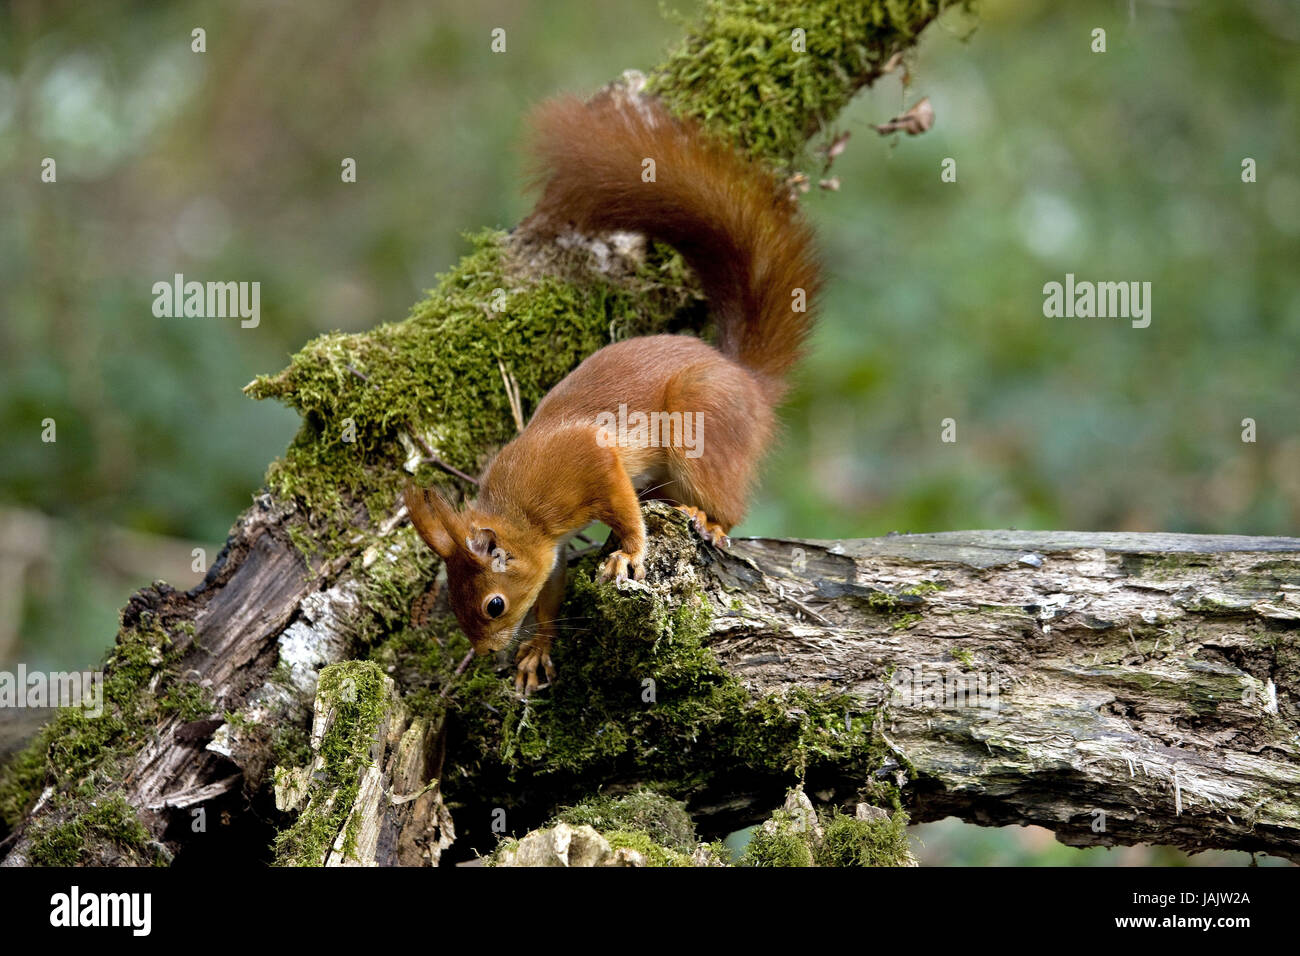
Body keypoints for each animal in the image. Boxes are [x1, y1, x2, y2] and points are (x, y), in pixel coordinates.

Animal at [405, 91, 820, 694]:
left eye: (493, 605)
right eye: (460, 610)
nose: (485, 654)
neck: (520, 510)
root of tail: (748, 380)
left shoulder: (587, 460)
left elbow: (623, 507)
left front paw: (628, 552)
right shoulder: (549, 550)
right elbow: (551, 589)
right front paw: (538, 650)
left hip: (700, 421)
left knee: (727, 504)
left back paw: (709, 521)